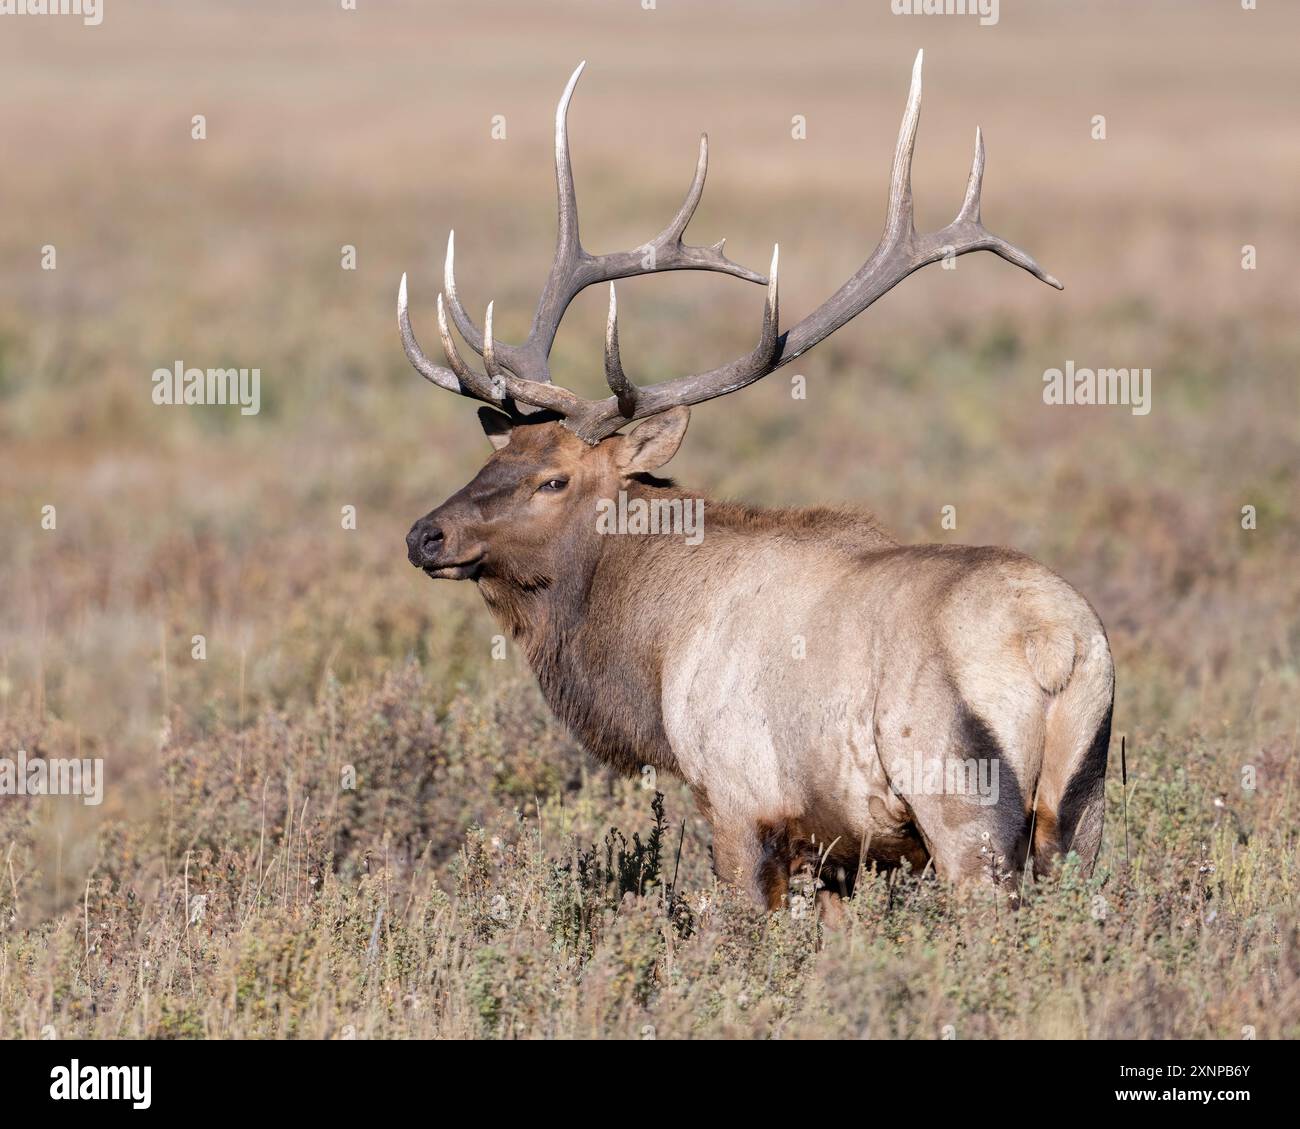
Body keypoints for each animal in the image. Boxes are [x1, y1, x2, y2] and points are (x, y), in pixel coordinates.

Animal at [398, 54, 1114, 910]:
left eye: (554, 479)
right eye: (497, 455)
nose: (424, 534)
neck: (653, 647)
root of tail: (1055, 645)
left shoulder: (741, 801)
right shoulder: (839, 845)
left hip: (961, 807)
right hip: (1083, 810)